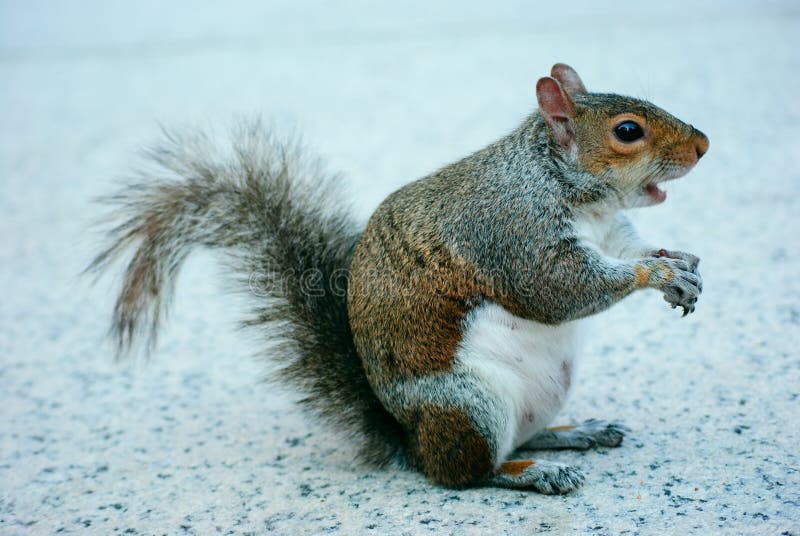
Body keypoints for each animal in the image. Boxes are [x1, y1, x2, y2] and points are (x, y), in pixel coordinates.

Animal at [88, 63, 708, 494]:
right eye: (627, 130)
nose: (703, 145)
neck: (572, 192)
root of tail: (411, 440)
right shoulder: (509, 229)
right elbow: (559, 288)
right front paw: (655, 272)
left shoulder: (610, 233)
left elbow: (629, 249)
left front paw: (680, 265)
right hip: (467, 403)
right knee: (466, 472)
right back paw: (533, 472)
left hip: (541, 392)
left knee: (522, 437)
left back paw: (575, 433)